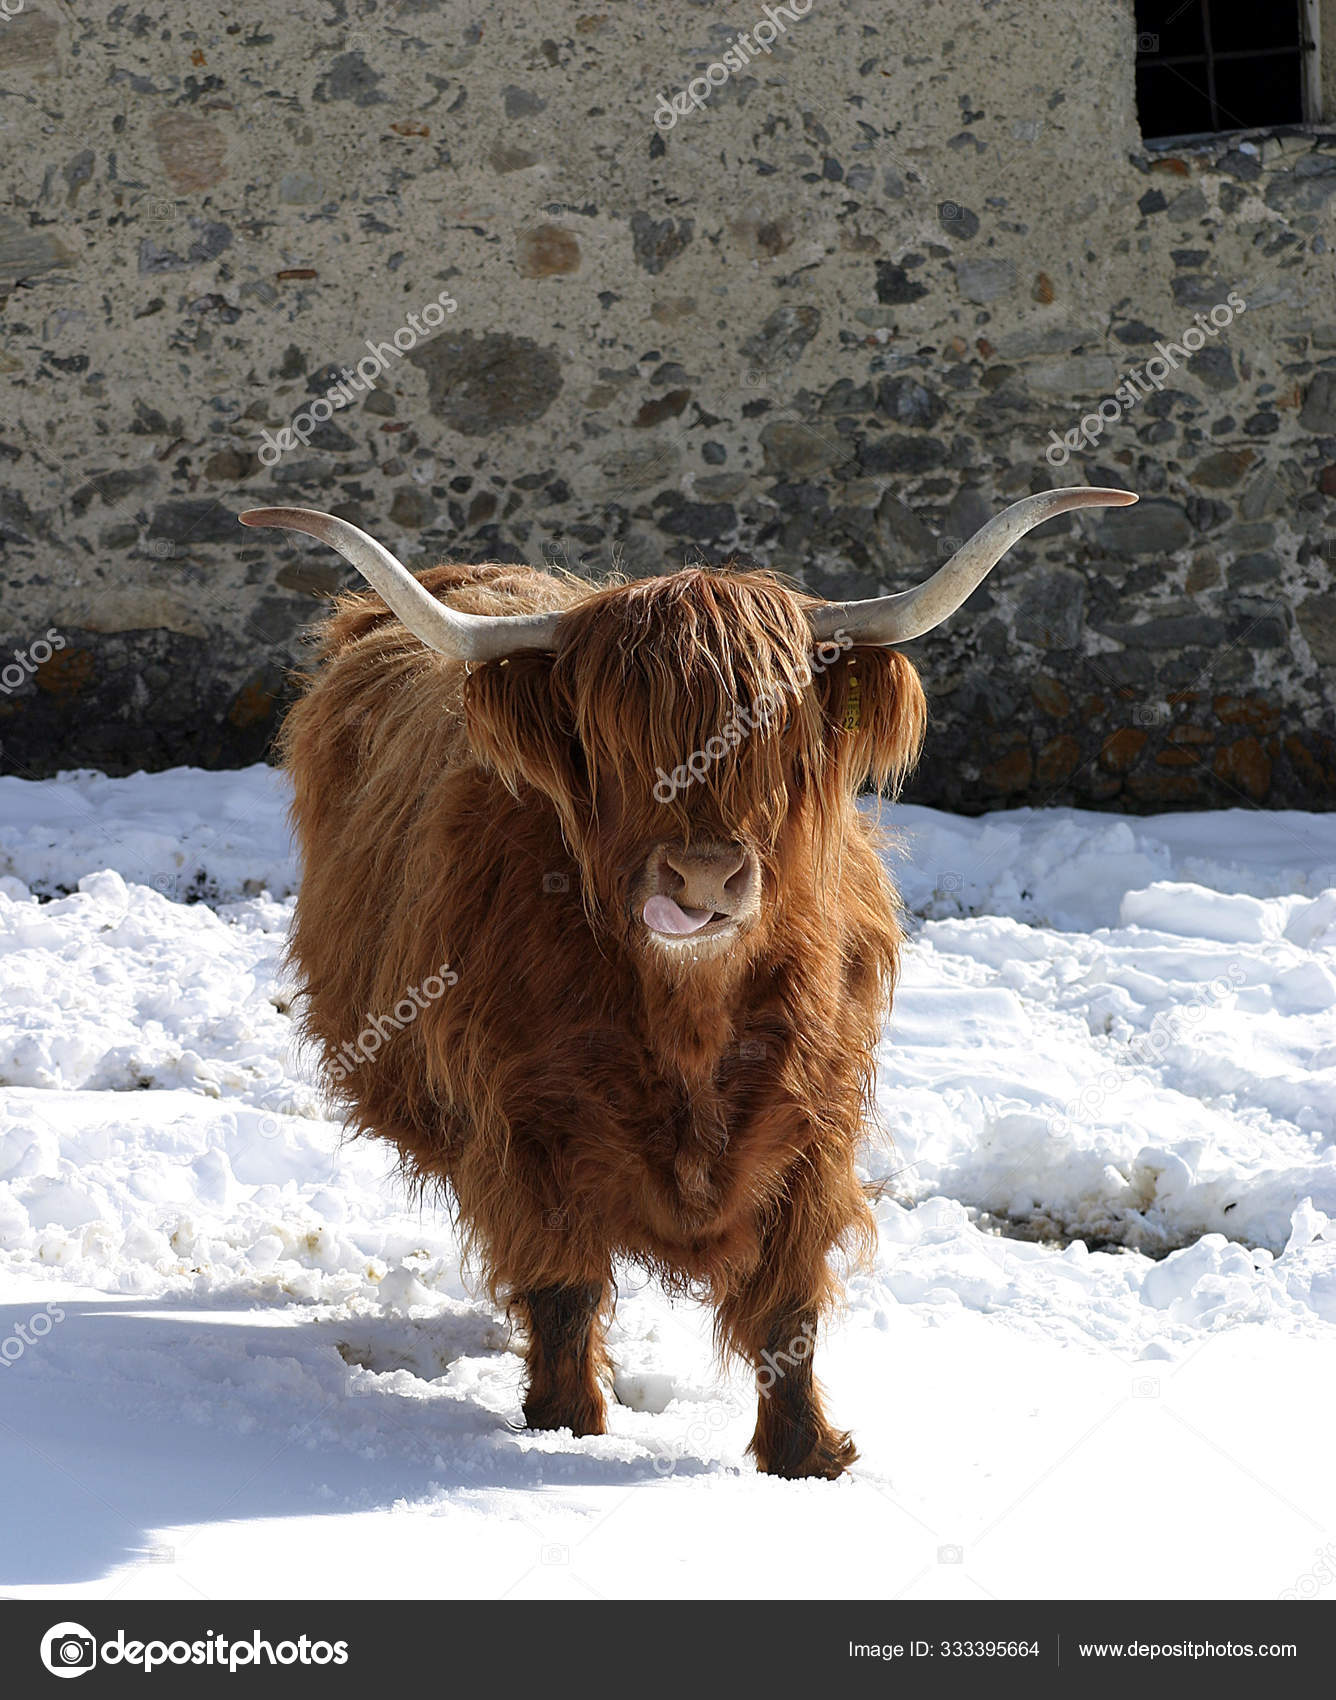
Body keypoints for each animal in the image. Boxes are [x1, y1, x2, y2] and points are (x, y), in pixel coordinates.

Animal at [241, 485, 1135, 1478]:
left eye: (776, 735)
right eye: (616, 742)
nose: (703, 876)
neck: (689, 1021)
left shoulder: (815, 1127)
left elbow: (787, 1308)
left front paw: (806, 1456)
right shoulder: (526, 1126)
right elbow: (562, 1287)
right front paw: (567, 1426)